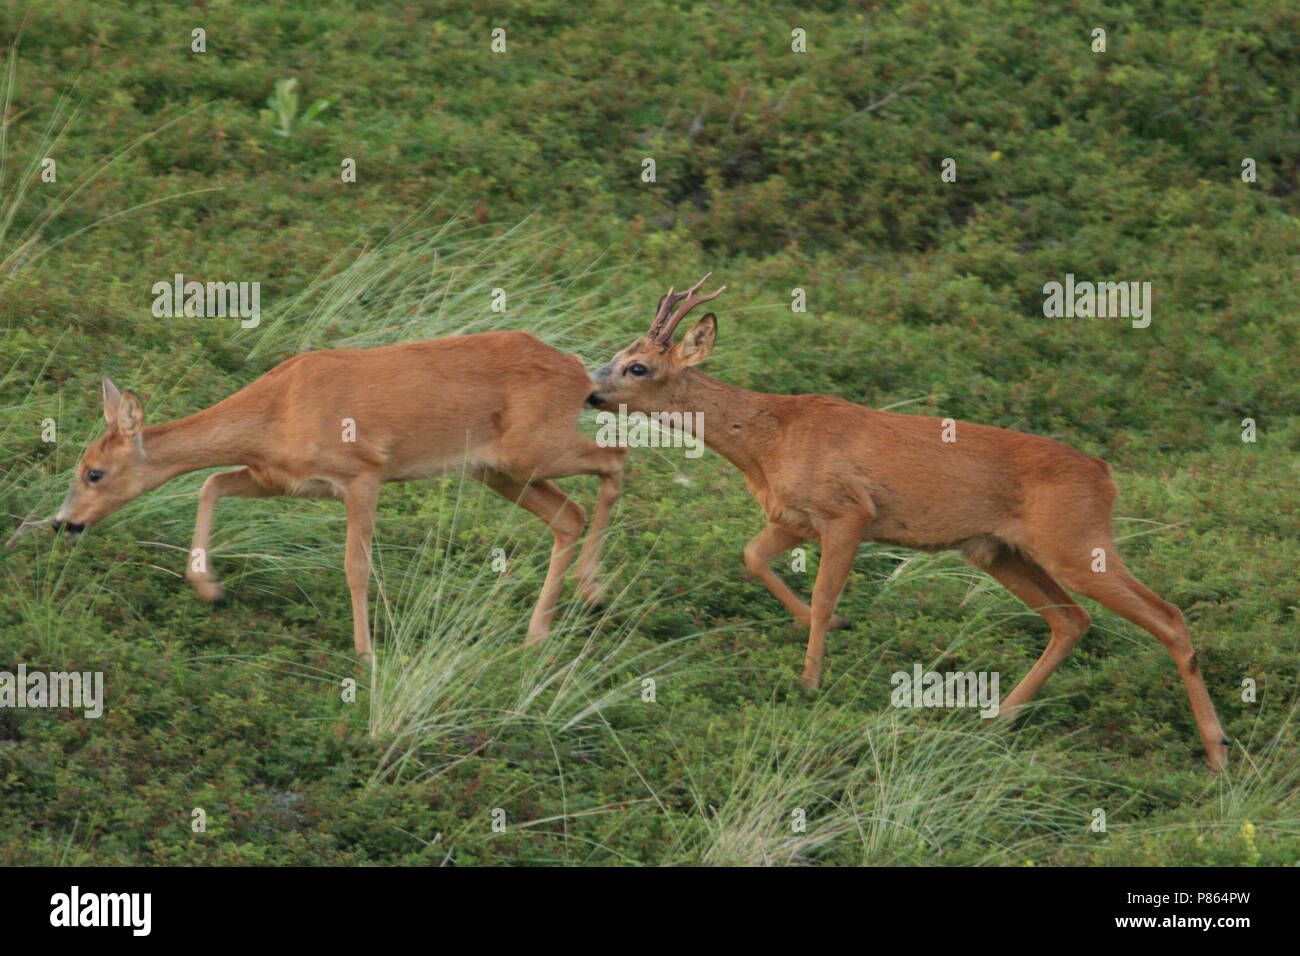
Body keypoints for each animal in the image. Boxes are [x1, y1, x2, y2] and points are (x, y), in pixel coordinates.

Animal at [29, 331, 627, 660]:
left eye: (94, 473)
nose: (62, 523)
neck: (276, 413)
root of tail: (577, 370)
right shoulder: (281, 479)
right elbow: (210, 483)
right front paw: (209, 588)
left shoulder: (363, 474)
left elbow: (355, 567)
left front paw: (366, 652)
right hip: (497, 470)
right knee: (568, 514)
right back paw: (538, 634)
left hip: (533, 450)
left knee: (616, 458)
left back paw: (592, 588)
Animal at [586, 275, 1230, 771]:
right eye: (616, 356)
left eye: (637, 367)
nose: (591, 392)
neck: (766, 442)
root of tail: (1105, 474)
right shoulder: (794, 516)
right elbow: (751, 557)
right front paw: (833, 627)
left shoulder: (850, 511)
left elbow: (821, 592)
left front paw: (810, 682)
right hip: (998, 551)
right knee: (1072, 619)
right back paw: (998, 718)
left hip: (1076, 541)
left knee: (1169, 618)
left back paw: (1218, 753)